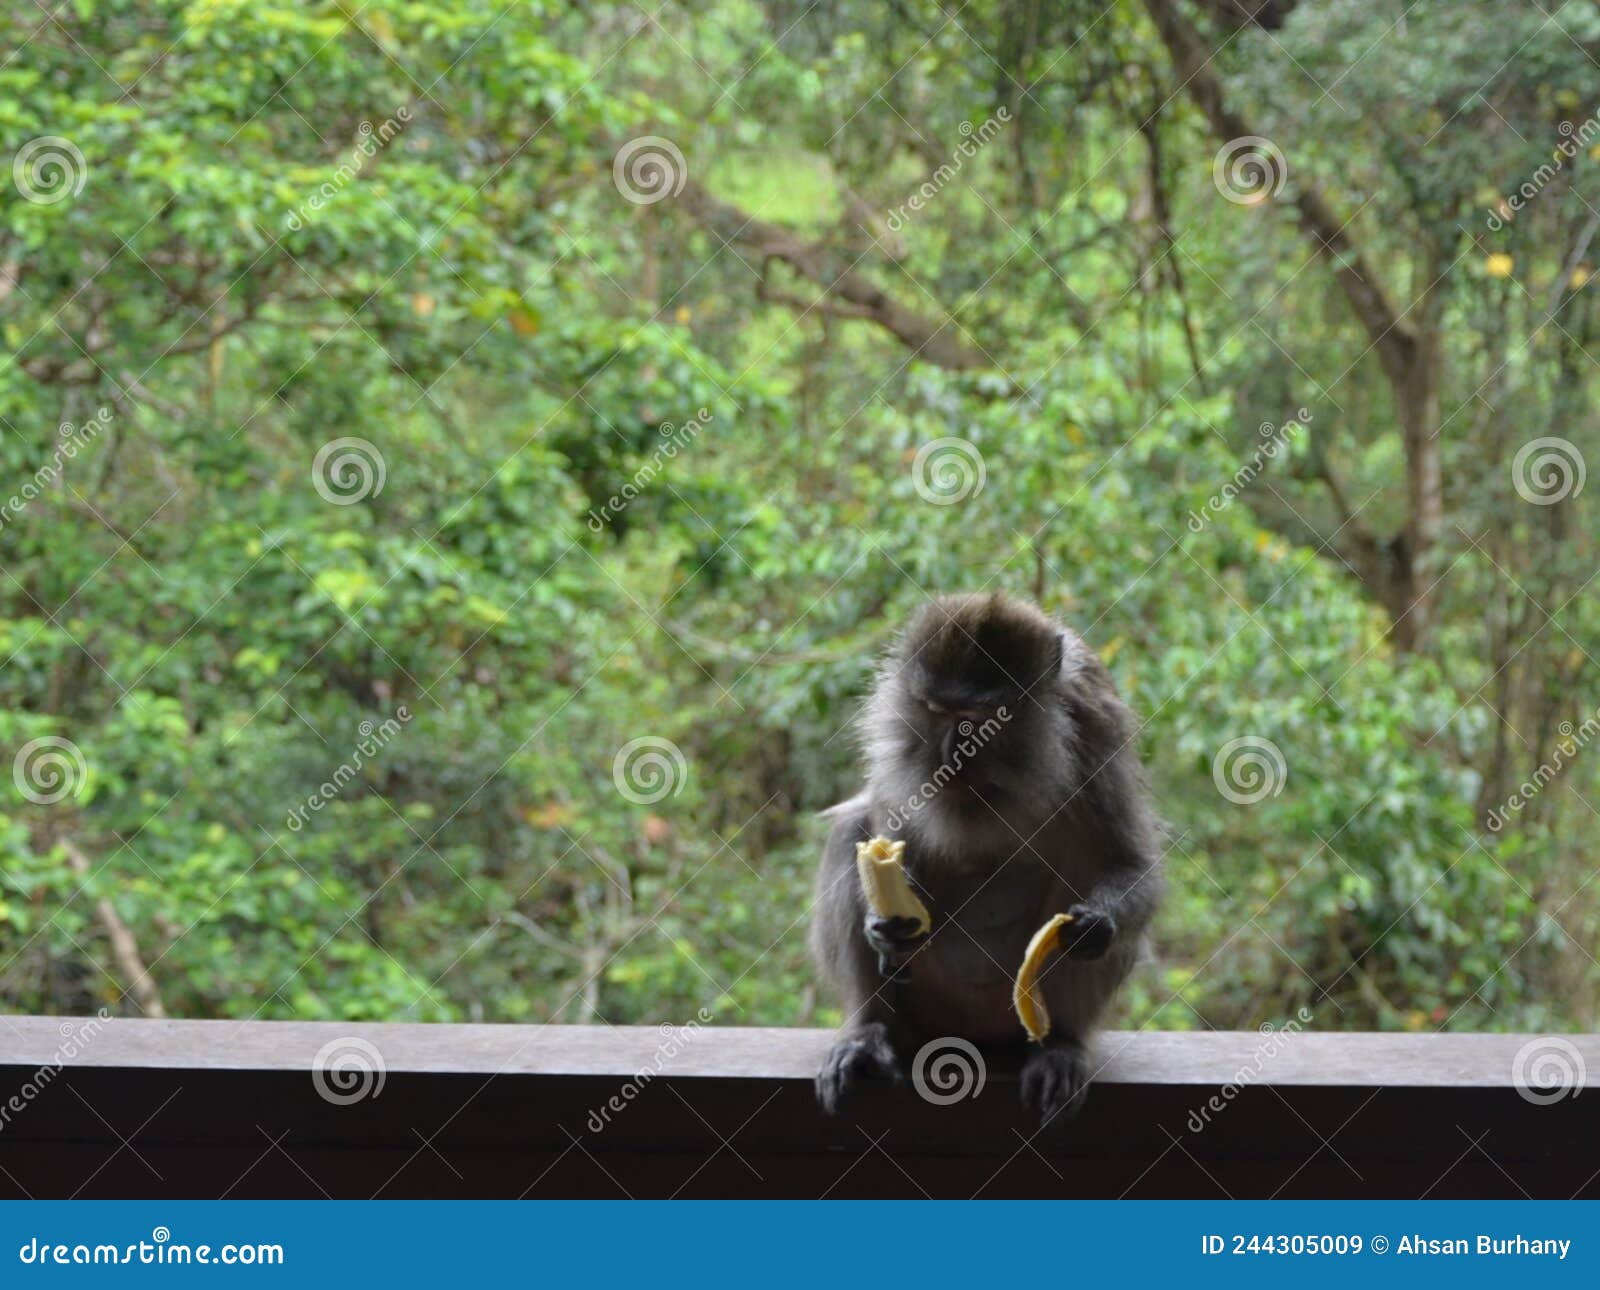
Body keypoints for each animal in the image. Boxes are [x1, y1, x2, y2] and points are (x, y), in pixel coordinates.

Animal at [810, 592, 1164, 1127]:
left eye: (980, 718)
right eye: (937, 710)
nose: (953, 752)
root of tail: (971, 1036)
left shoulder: (1096, 722)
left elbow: (1130, 862)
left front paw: (1096, 925)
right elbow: (884, 820)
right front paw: (881, 923)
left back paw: (1061, 1045)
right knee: (850, 831)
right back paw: (867, 1034)